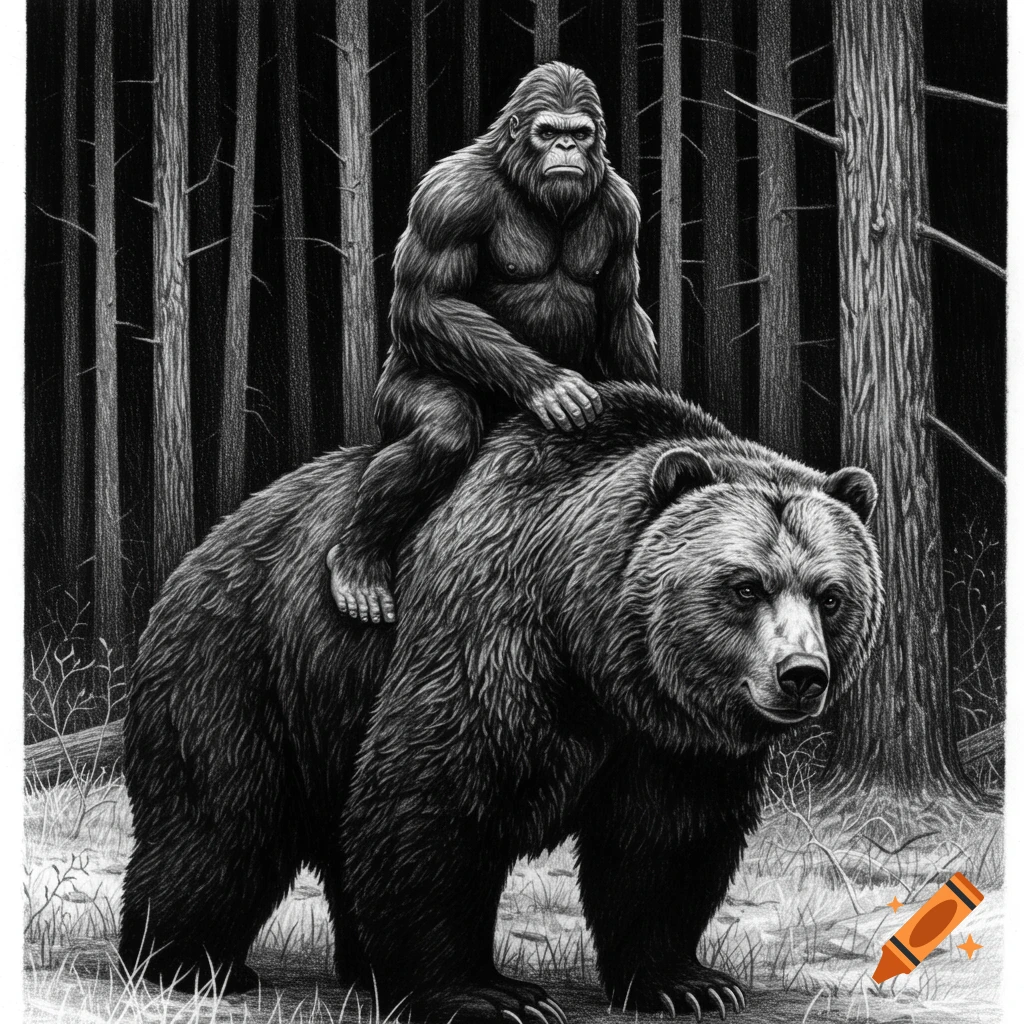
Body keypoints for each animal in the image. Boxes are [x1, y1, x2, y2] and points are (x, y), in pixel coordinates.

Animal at [118, 382, 882, 1021]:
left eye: (831, 594)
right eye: (746, 585)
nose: (802, 674)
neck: (598, 653)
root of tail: (208, 541)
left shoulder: (675, 738)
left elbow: (668, 838)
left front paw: (687, 983)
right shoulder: (495, 636)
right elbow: (437, 799)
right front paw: (490, 994)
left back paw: (360, 968)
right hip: (247, 665)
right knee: (221, 821)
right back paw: (188, 963)